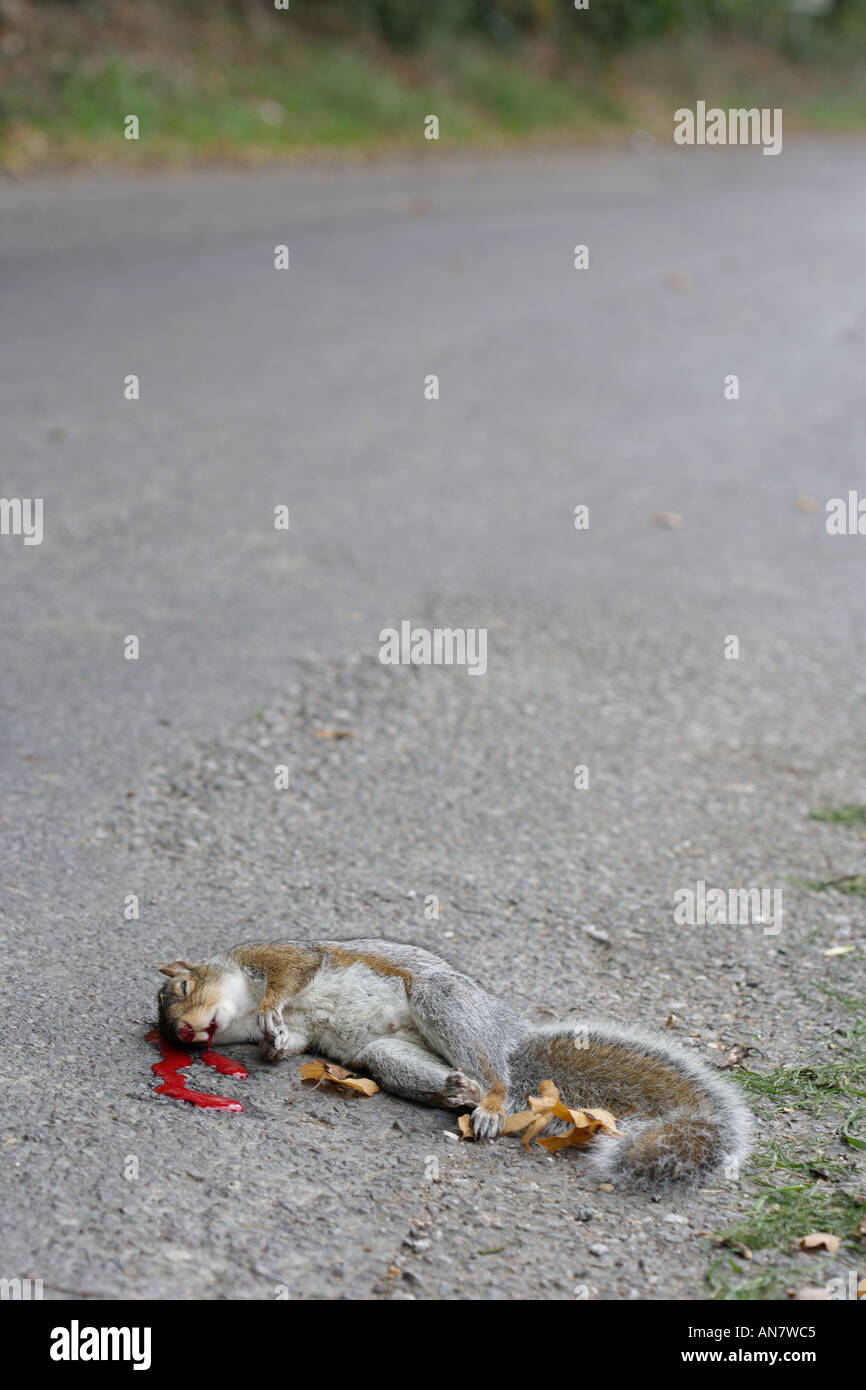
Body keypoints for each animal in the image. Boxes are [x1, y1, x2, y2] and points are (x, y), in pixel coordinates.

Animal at [156, 937, 751, 1190]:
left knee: (497, 1081)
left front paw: (271, 1015)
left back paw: (488, 1102)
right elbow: (293, 1040)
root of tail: (510, 1043)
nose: (184, 1032)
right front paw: (271, 1045)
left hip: (442, 1000)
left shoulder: (280, 957)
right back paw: (453, 1091)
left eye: (180, 989)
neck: (239, 1004)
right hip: (385, 1053)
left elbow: (290, 976)